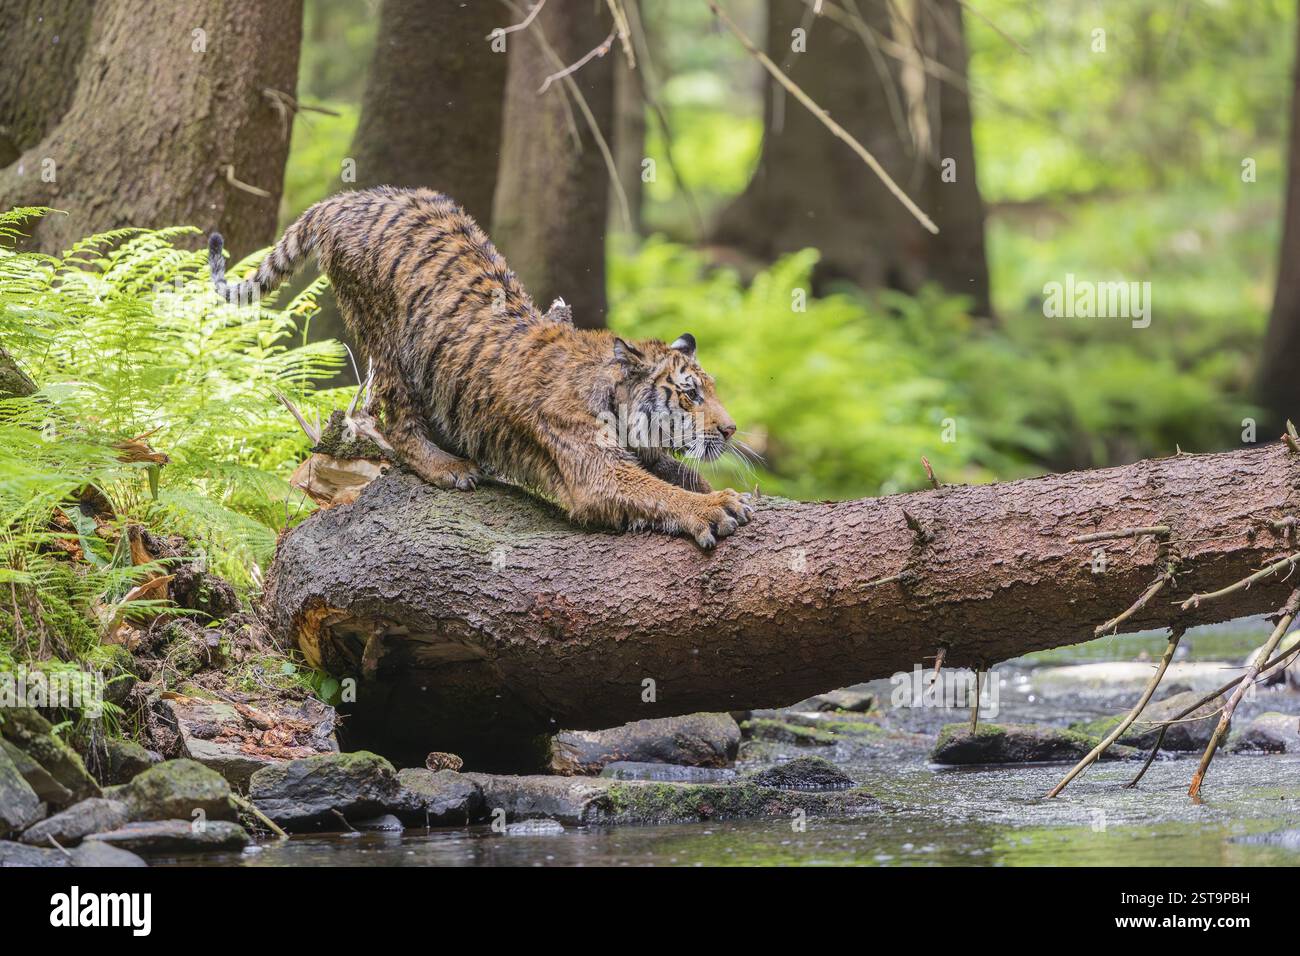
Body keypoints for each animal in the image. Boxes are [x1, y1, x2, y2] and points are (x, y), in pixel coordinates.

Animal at [209, 186, 753, 549]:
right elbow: (658, 491)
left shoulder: (640, 451)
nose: (730, 431)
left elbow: (676, 475)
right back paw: (449, 467)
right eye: (690, 394)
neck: (616, 403)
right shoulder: (597, 472)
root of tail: (347, 198)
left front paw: (723, 493)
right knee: (394, 419)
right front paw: (716, 507)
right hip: (389, 339)